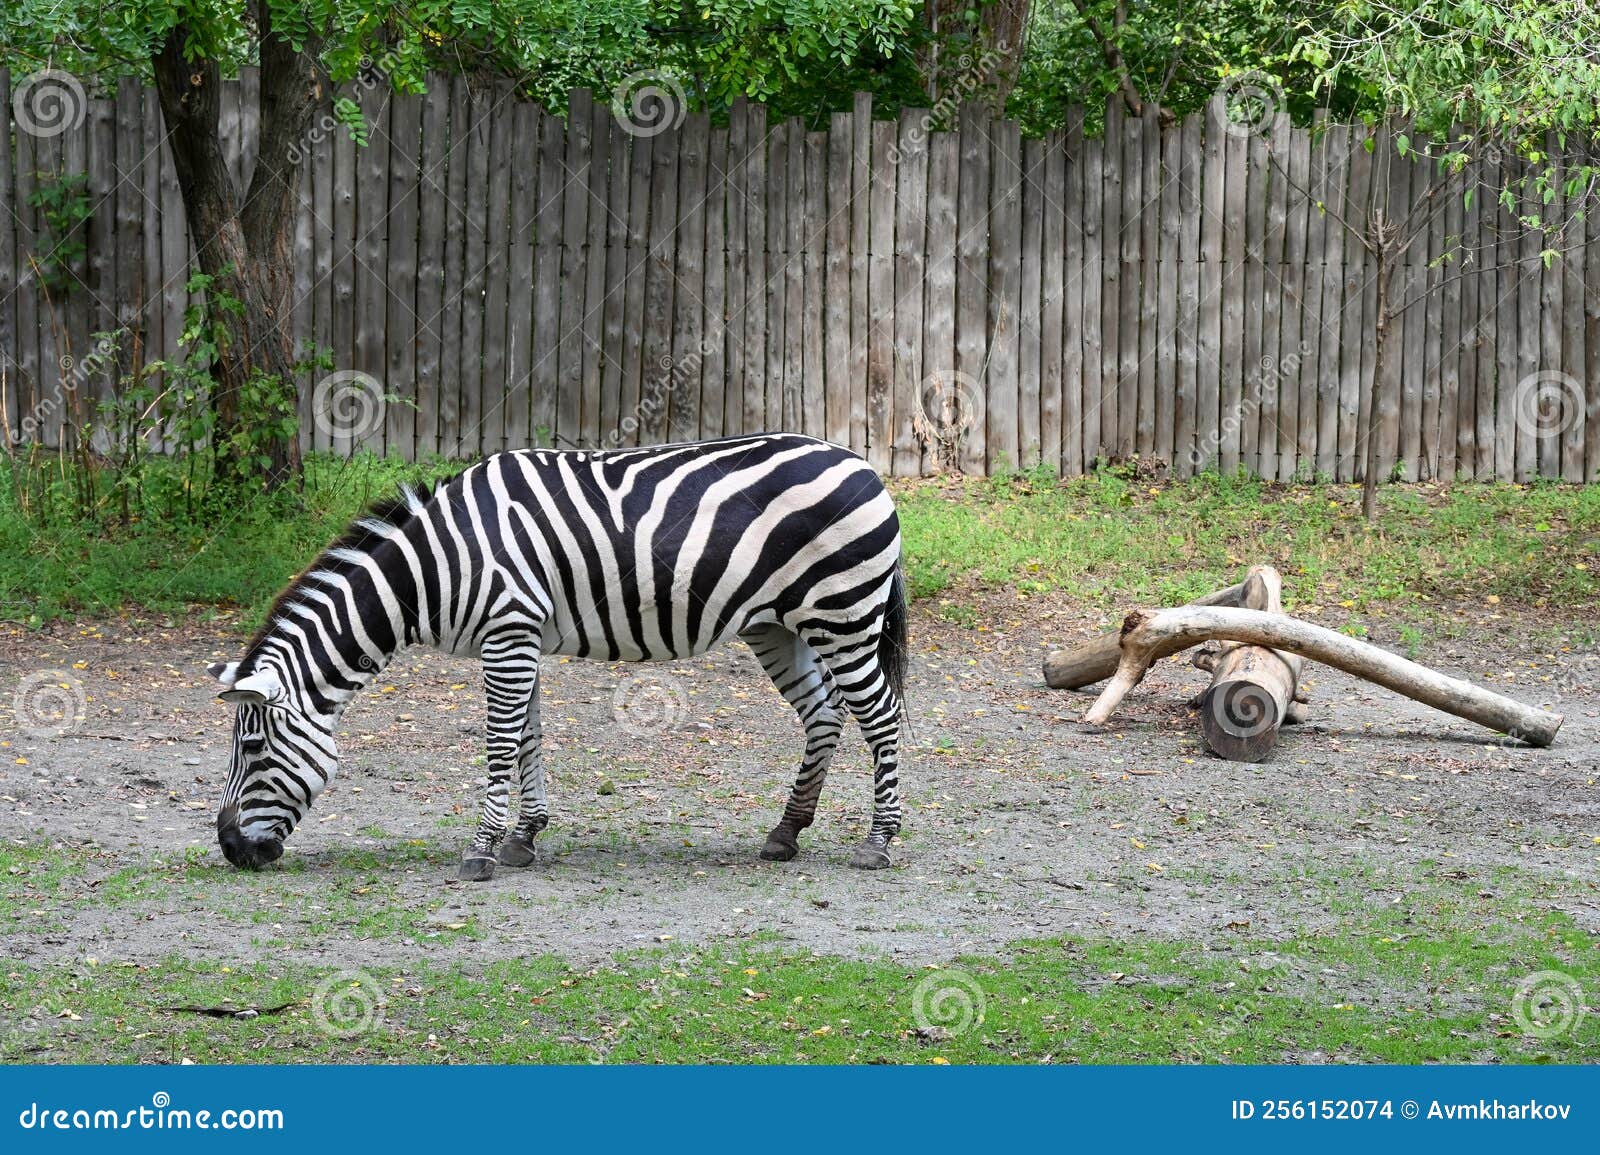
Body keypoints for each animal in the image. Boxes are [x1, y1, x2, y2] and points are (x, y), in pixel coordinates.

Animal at [210, 433, 908, 881]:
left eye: (252, 748)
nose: (229, 849)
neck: (436, 564)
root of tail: (863, 464)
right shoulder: (518, 635)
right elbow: (527, 738)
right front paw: (524, 837)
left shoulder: (508, 635)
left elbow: (499, 743)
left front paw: (482, 851)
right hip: (779, 624)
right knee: (824, 715)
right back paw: (787, 831)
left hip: (842, 613)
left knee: (881, 715)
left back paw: (879, 841)